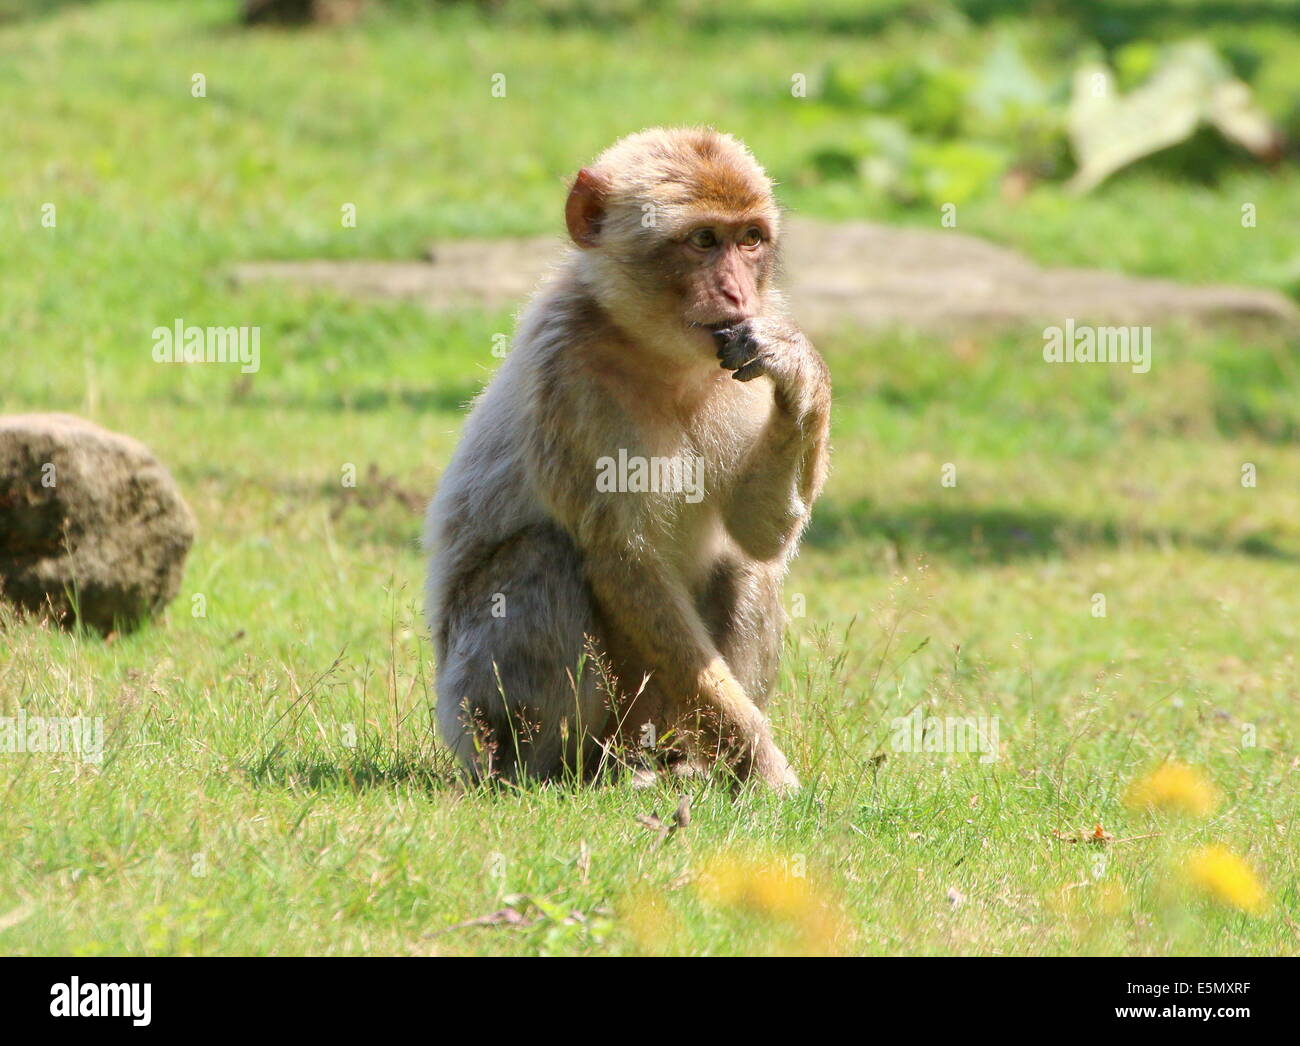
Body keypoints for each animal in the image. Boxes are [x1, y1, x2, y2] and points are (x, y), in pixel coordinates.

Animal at [423, 127, 831, 791]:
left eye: (749, 239)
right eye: (702, 240)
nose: (737, 291)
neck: (659, 355)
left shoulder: (743, 348)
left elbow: (760, 533)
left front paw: (798, 367)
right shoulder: (566, 374)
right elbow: (623, 557)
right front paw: (765, 764)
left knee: (746, 566)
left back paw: (684, 766)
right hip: (470, 710)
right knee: (544, 557)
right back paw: (555, 772)